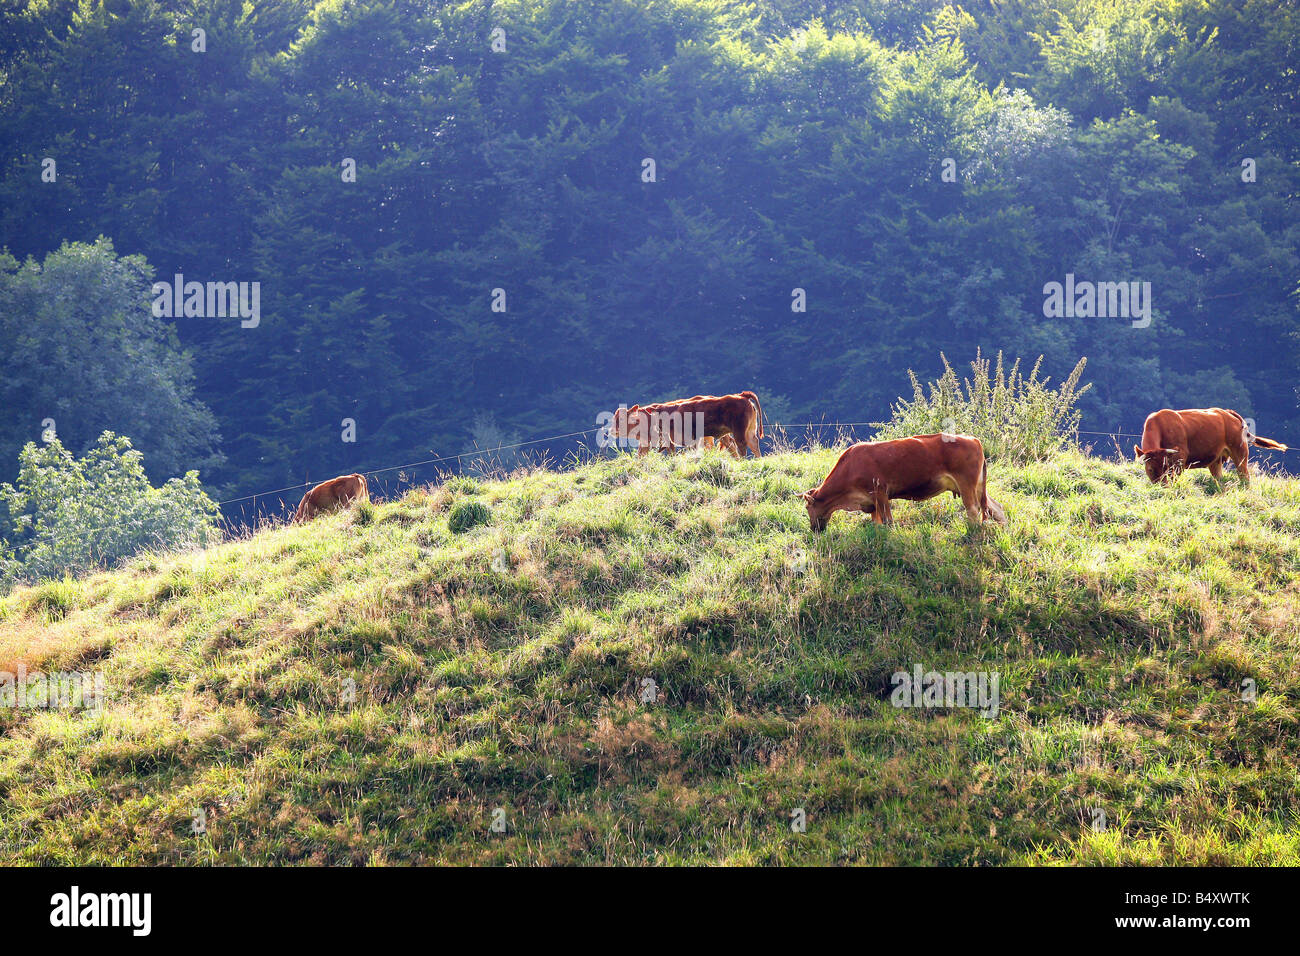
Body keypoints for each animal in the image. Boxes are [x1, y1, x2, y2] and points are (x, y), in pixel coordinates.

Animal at [610, 391, 764, 458]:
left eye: (621, 419)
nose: (611, 431)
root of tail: (741, 395)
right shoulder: (647, 442)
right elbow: (641, 456)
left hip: (739, 430)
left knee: (741, 446)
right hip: (747, 431)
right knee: (751, 444)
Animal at [798, 434, 1006, 531]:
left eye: (808, 508)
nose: (814, 529)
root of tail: (973, 439)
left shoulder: (880, 491)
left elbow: (888, 521)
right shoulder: (871, 501)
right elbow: (877, 522)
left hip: (966, 483)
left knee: (973, 509)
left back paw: (971, 531)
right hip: (977, 485)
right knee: (995, 507)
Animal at [1133, 407, 1287, 486]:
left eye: (1164, 467)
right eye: (1150, 468)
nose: (1161, 486)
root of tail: (1227, 412)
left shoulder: (1180, 458)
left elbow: (1174, 478)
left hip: (1240, 453)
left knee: (1245, 477)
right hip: (1216, 461)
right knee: (1219, 480)